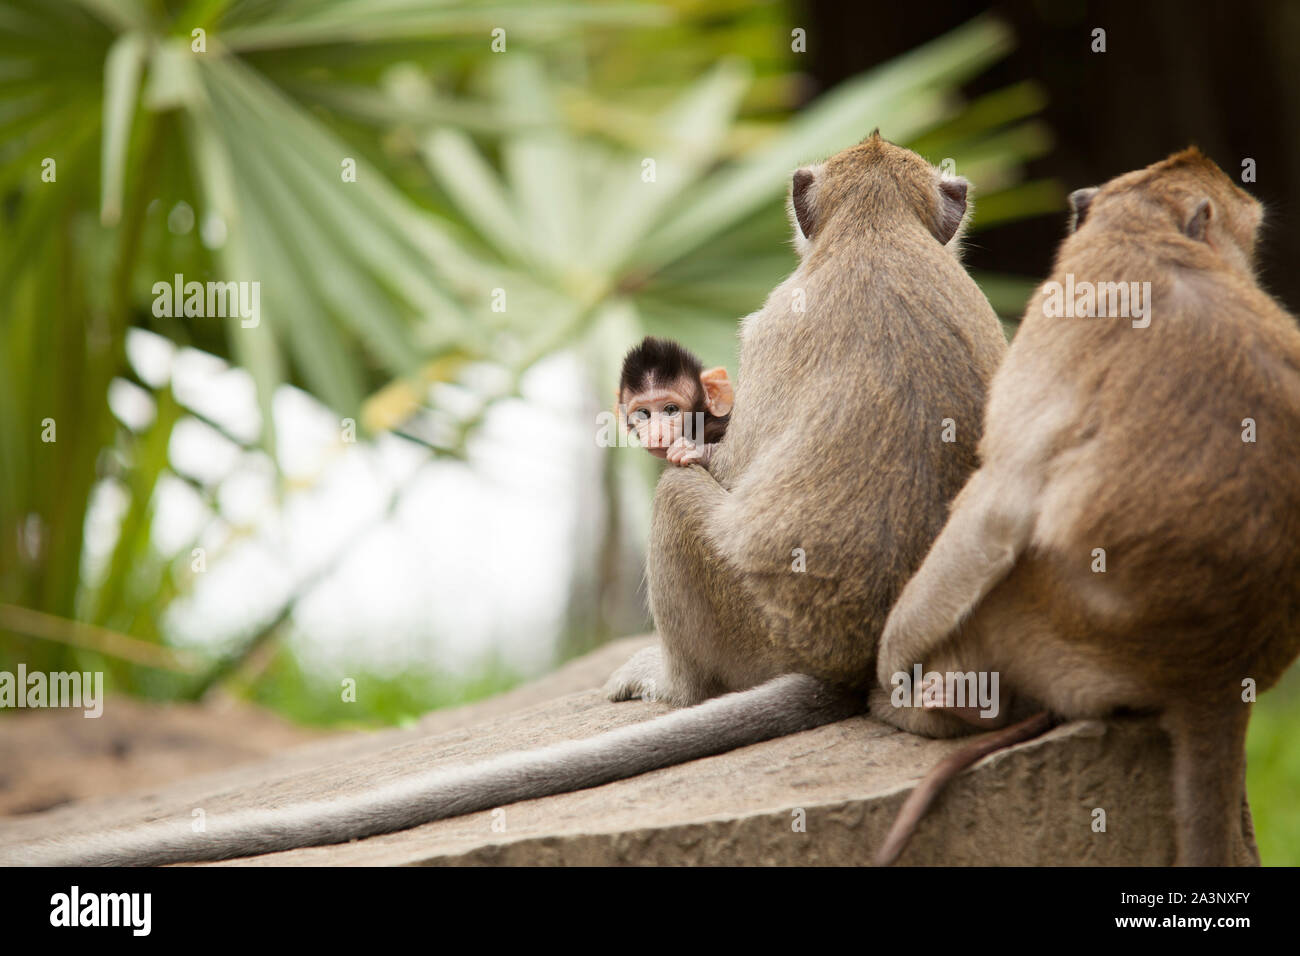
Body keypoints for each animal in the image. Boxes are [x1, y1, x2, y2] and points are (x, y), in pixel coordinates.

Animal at [874, 146, 1300, 866]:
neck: (1147, 232)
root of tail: (1220, 673)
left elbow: (1001, 501)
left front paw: (887, 665)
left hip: (1053, 638)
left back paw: (956, 706)